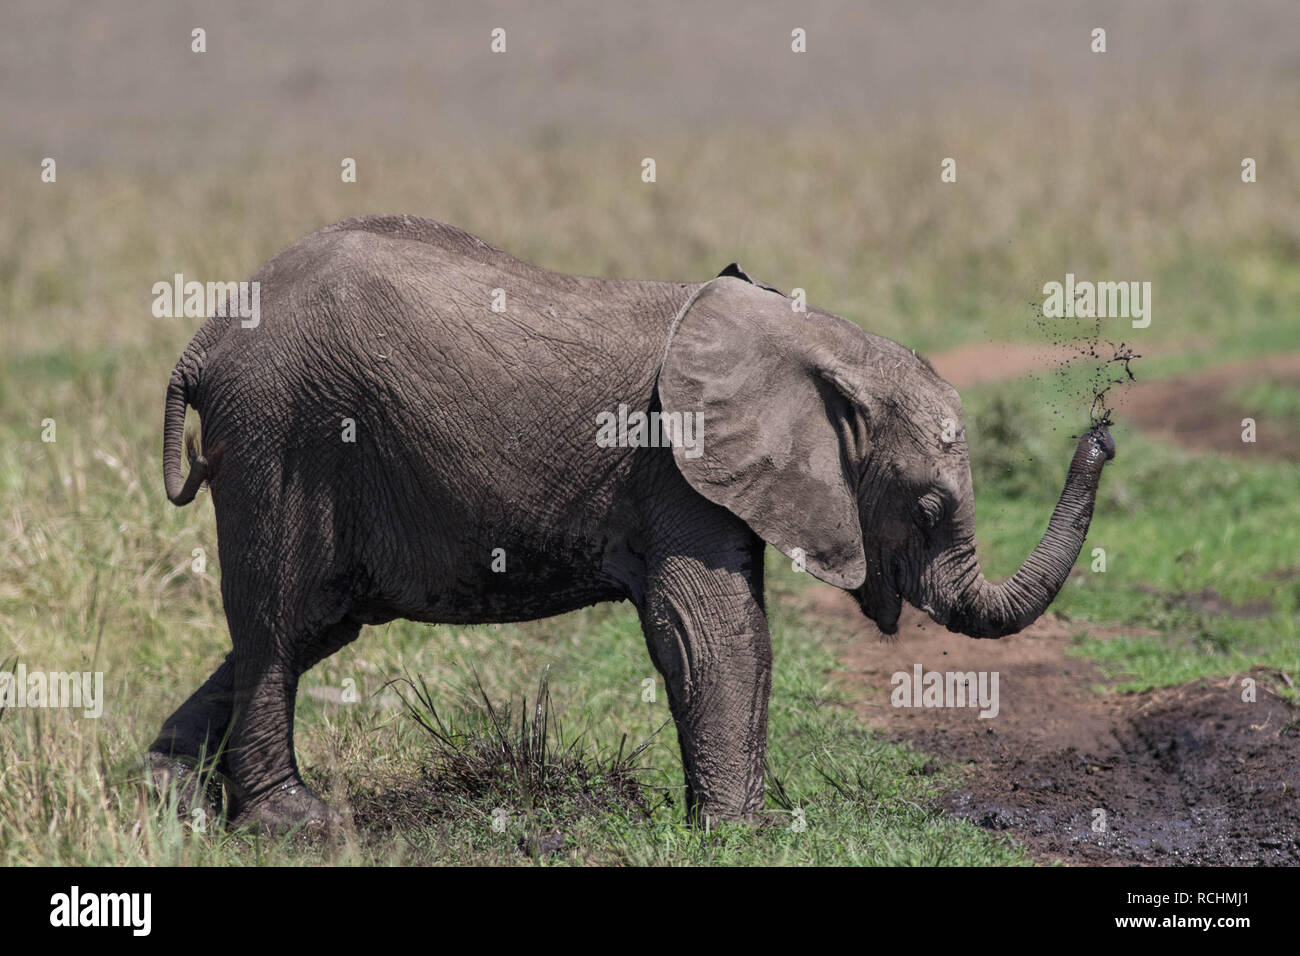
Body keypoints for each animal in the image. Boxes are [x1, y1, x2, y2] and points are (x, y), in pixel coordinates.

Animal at [149, 214, 1115, 832]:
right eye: (929, 507)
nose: (1103, 428)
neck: (814, 341)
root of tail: (203, 340)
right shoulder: (673, 464)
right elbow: (714, 632)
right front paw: (741, 837)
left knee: (313, 624)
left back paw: (171, 799)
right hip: (281, 434)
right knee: (278, 622)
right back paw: (292, 822)